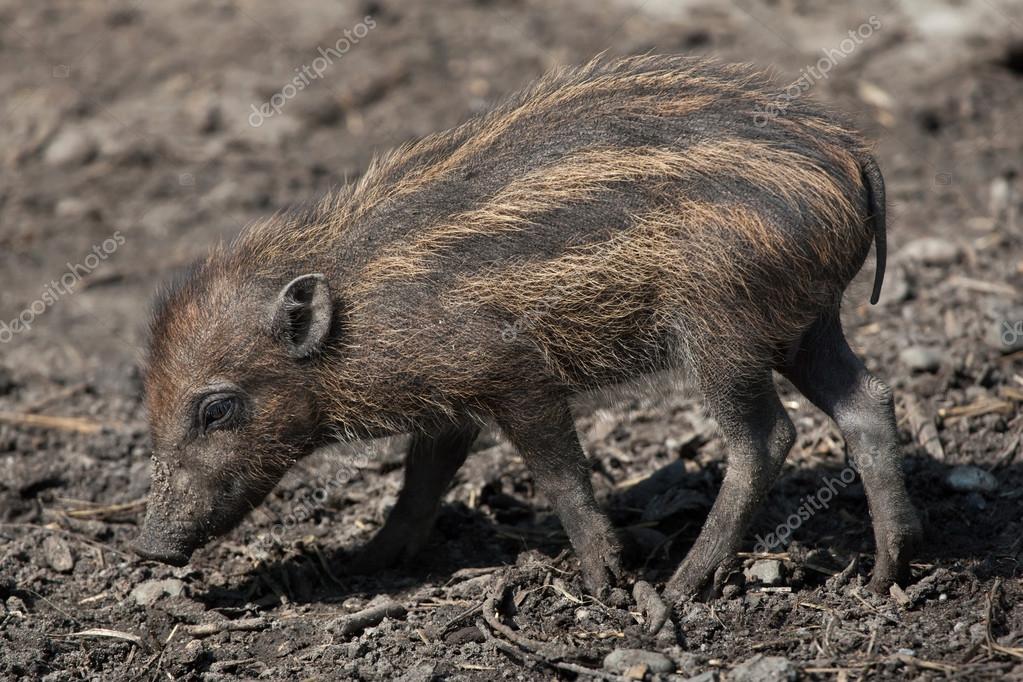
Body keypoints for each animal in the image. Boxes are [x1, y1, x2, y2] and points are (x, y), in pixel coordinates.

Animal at [134, 55, 921, 603]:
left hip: (723, 326)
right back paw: (885, 575)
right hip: (804, 322)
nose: (144, 547)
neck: (362, 319)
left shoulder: (514, 373)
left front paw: (603, 581)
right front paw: (369, 562)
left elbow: (560, 474)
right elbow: (421, 479)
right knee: (867, 404)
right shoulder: (449, 399)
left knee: (765, 437)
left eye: (216, 409)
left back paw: (680, 587)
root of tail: (849, 153)